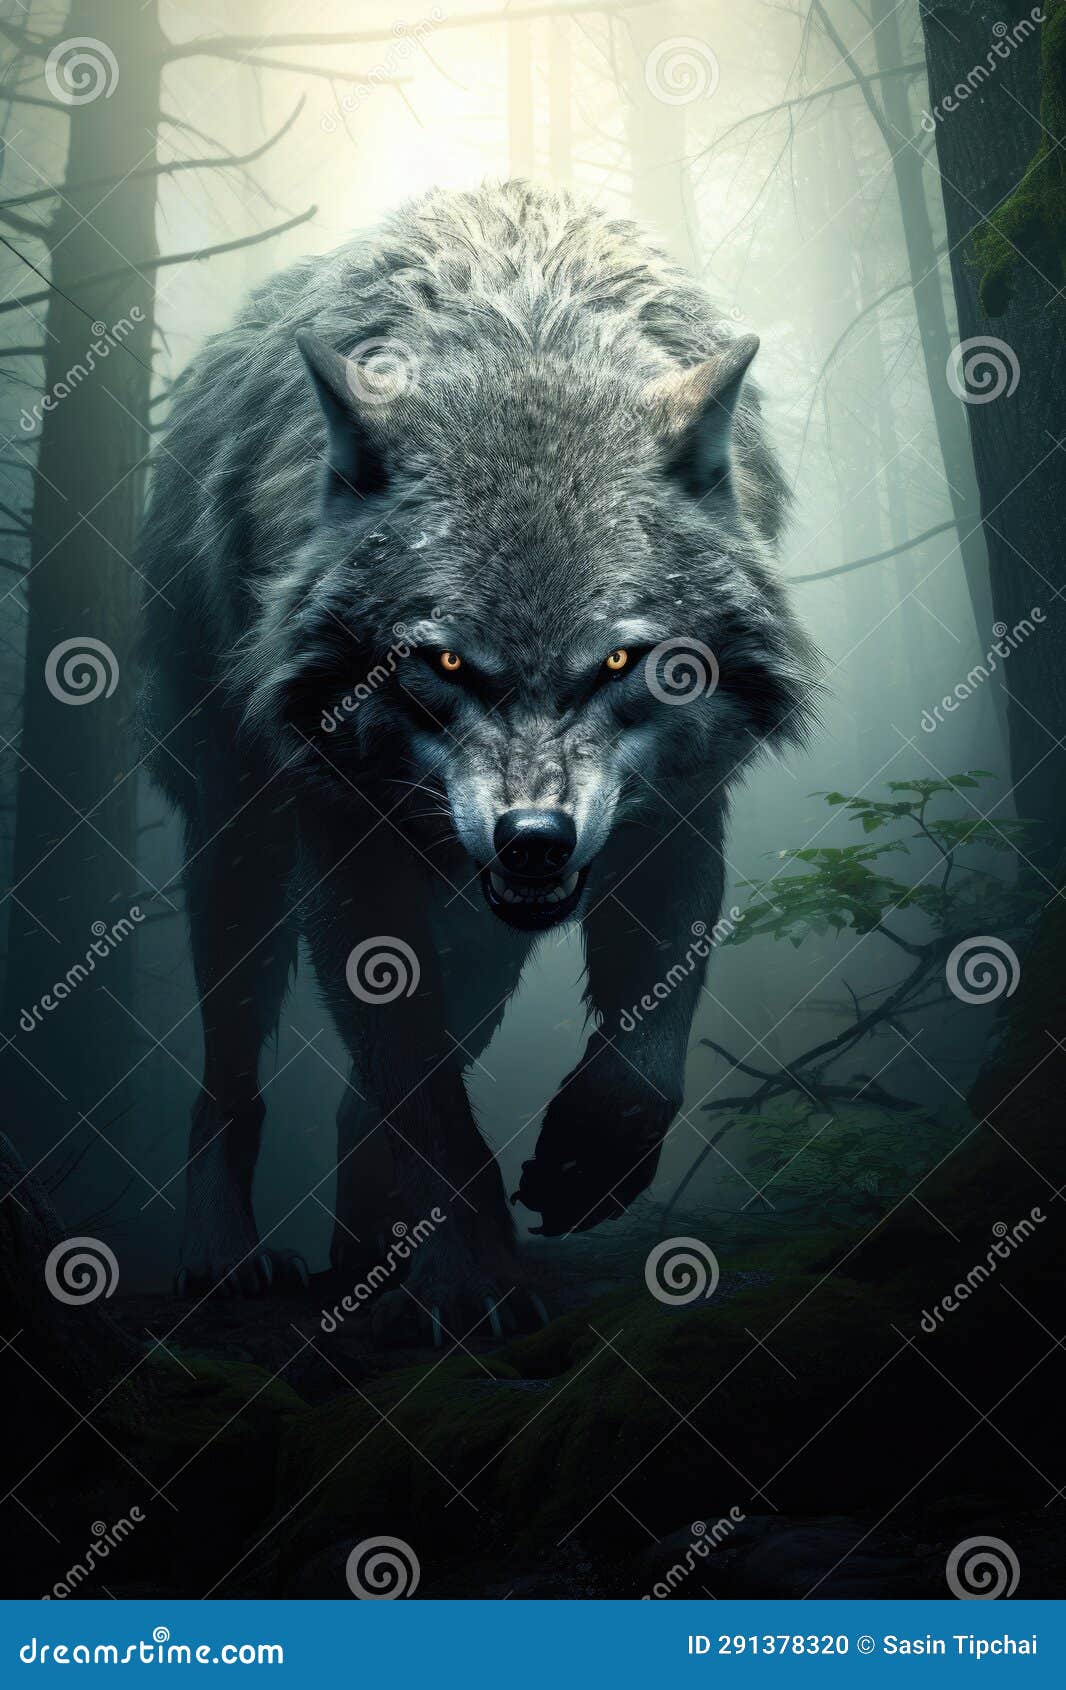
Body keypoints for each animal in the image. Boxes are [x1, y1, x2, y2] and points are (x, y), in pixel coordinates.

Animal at [140, 180, 815, 1338]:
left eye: (621, 660)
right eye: (445, 659)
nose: (533, 839)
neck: (524, 320)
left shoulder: (678, 815)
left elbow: (646, 1055)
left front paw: (586, 1168)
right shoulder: (343, 849)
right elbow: (426, 1103)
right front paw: (481, 1281)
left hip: (477, 929)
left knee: (367, 1093)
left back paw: (365, 1248)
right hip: (237, 851)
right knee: (233, 1075)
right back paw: (224, 1255)